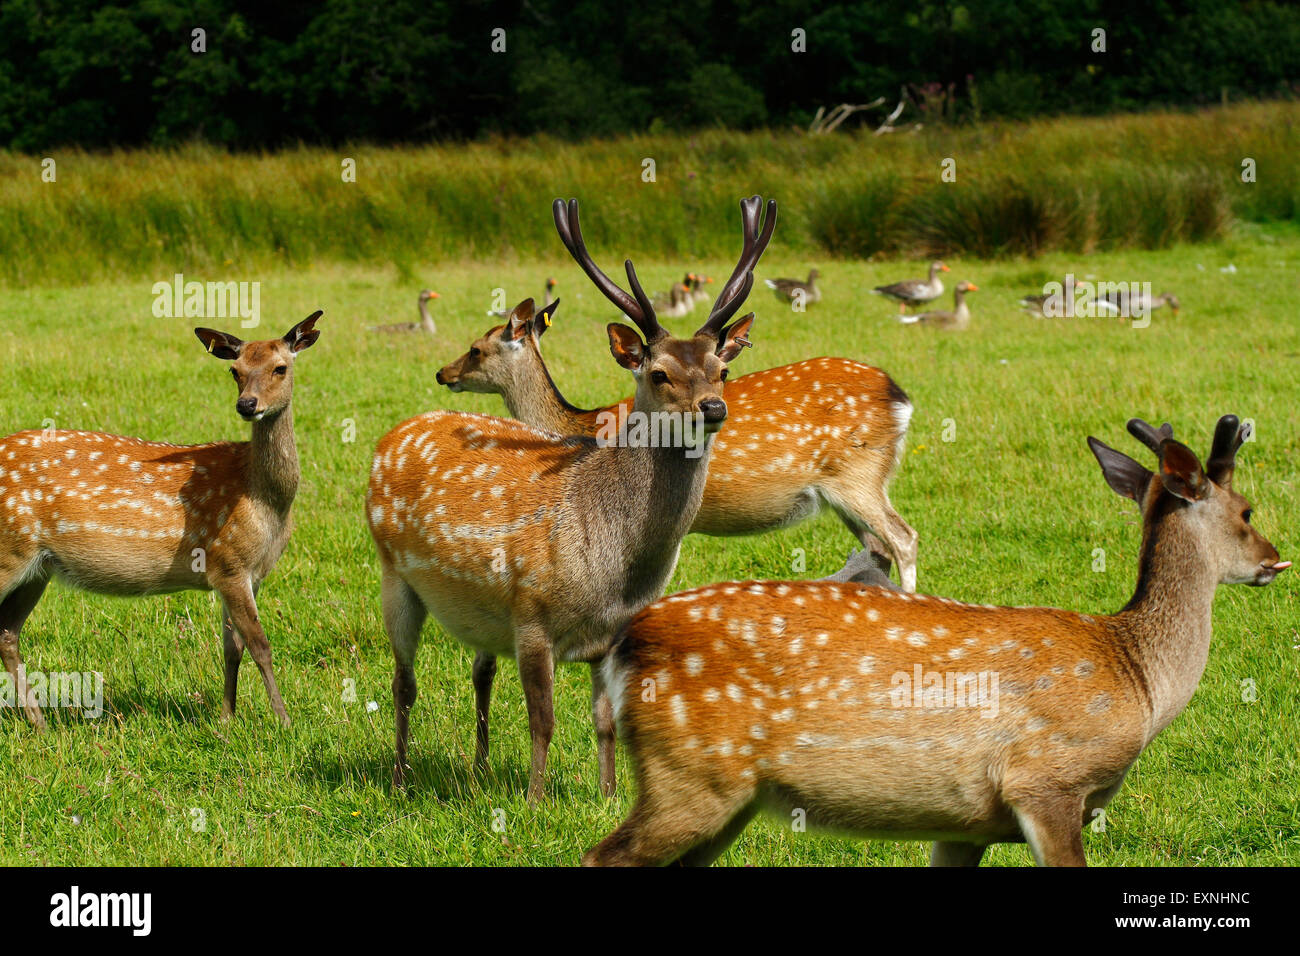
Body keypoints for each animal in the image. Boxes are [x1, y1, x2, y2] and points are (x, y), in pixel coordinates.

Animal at [0, 314, 322, 729]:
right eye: (235, 371)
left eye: (280, 368)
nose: (247, 404)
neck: (265, 501)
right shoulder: (228, 560)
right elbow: (260, 644)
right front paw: (283, 720)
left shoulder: (245, 572)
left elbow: (232, 648)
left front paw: (226, 719)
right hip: (9, 550)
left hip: (37, 566)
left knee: (7, 631)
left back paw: (39, 723)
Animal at [366, 196, 776, 802]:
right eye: (659, 373)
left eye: (722, 370)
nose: (713, 407)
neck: (613, 568)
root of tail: (389, 437)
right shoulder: (531, 615)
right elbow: (543, 719)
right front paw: (536, 800)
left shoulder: (611, 635)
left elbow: (605, 721)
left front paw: (608, 797)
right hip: (393, 573)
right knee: (404, 681)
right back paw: (400, 778)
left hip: (478, 612)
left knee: (476, 673)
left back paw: (479, 771)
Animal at [435, 299, 918, 590]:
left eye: (476, 349)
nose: (443, 373)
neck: (580, 424)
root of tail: (901, 398)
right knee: (877, 548)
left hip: (858, 476)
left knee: (904, 537)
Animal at [584, 413, 1288, 866]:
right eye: (1247, 511)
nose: (1275, 559)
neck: (1137, 679)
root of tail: (625, 642)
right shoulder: (1047, 780)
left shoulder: (967, 823)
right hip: (692, 775)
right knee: (601, 857)